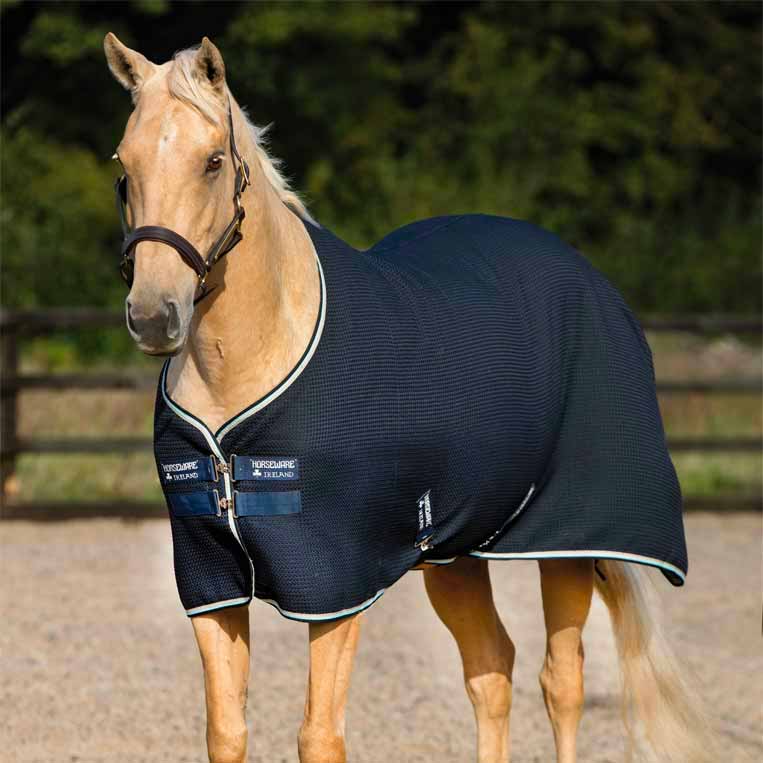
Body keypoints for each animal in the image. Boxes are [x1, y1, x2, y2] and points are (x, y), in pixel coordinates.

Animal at [104, 34, 714, 763]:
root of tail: (587, 277)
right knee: (492, 670)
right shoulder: (212, 581)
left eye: (213, 161)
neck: (249, 363)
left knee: (560, 681)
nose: (154, 314)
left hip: (568, 543)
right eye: (124, 165)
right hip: (454, 552)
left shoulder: (333, 581)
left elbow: (319, 734)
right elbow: (226, 731)